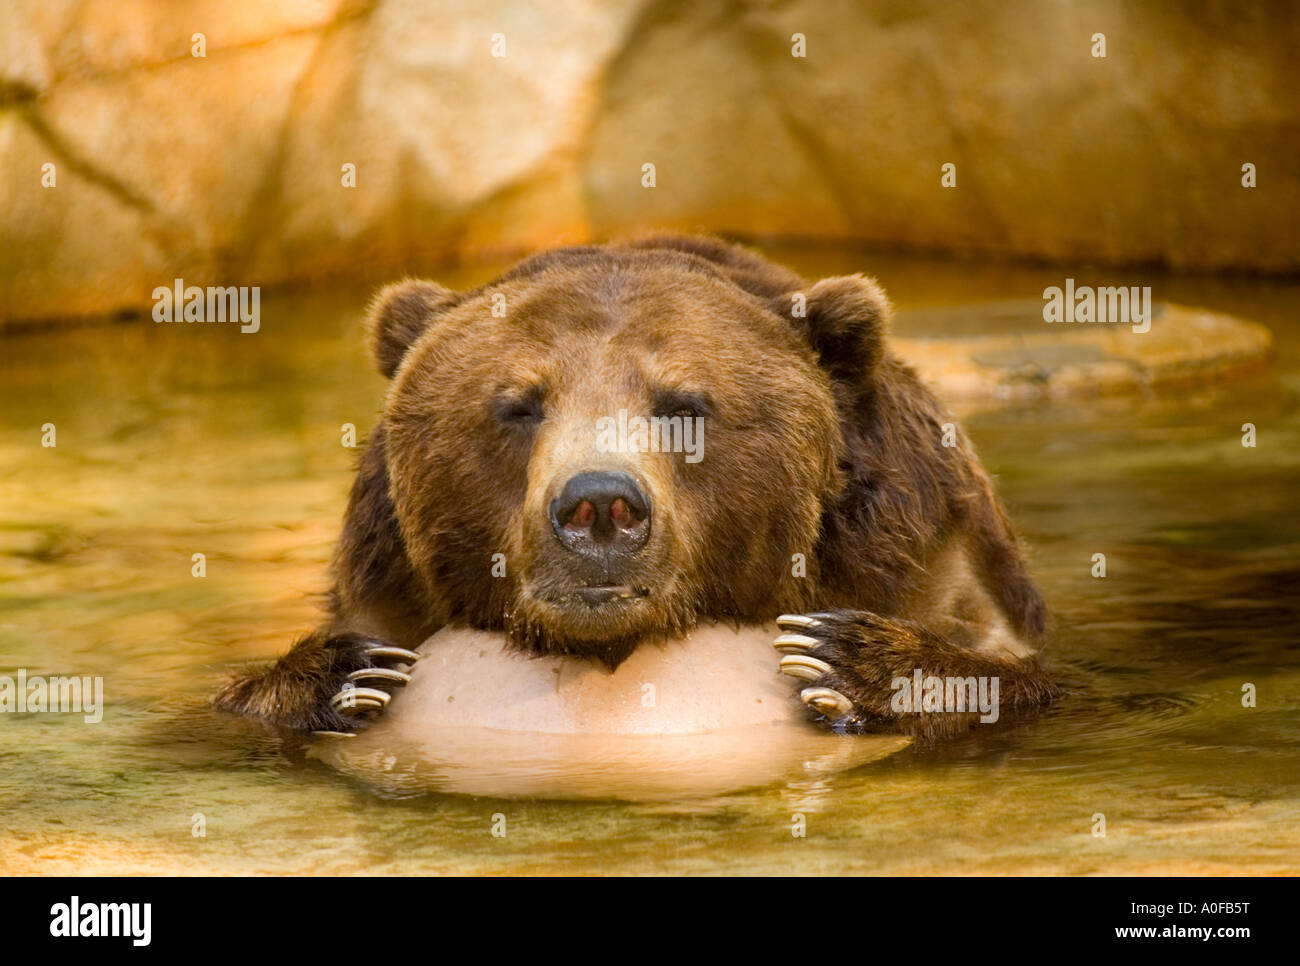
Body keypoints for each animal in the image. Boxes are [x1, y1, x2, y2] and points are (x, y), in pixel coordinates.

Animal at [213, 234, 1058, 740]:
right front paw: (347, 673)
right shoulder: (388, 586)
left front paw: (845, 658)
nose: (599, 506)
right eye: (520, 403)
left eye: (682, 404)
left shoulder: (921, 551)